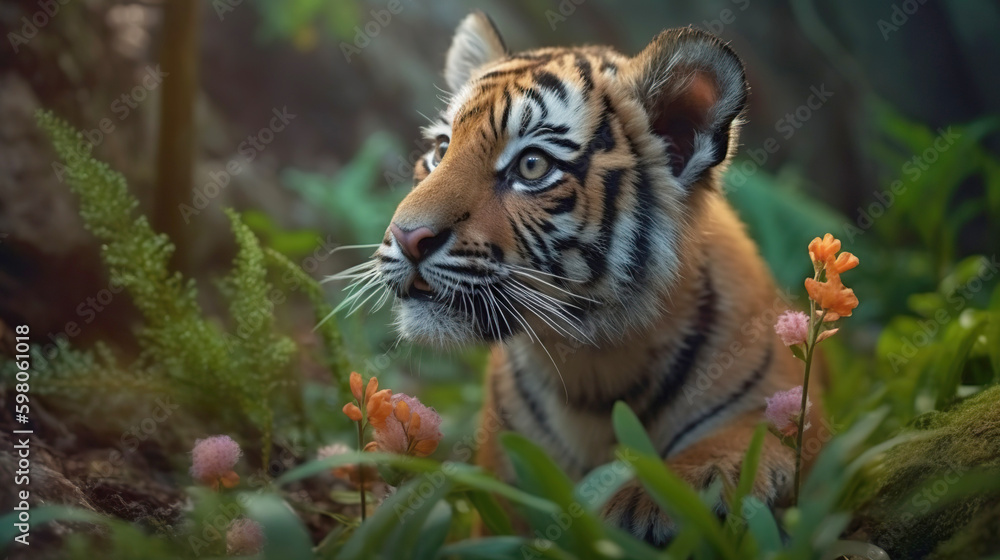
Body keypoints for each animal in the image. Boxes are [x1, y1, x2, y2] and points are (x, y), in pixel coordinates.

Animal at [360, 12, 823, 545]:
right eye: (441, 150)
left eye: (532, 165)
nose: (406, 236)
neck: (595, 363)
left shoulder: (791, 408)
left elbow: (744, 445)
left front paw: (652, 501)